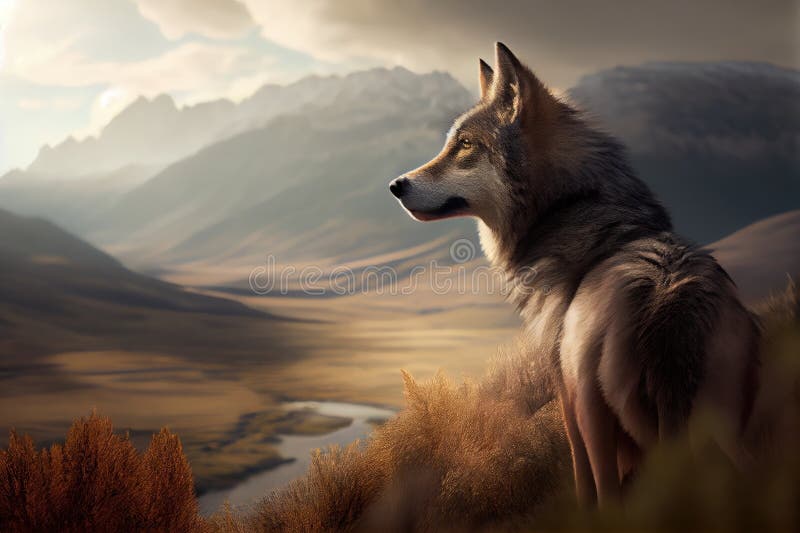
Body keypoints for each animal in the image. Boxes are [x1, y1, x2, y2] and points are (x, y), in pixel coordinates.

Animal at [389, 42, 760, 505]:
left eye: (466, 146)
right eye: (451, 144)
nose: (395, 185)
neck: (567, 208)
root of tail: (668, 307)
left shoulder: (562, 389)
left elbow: (580, 475)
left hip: (594, 414)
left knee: (609, 489)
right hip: (729, 431)